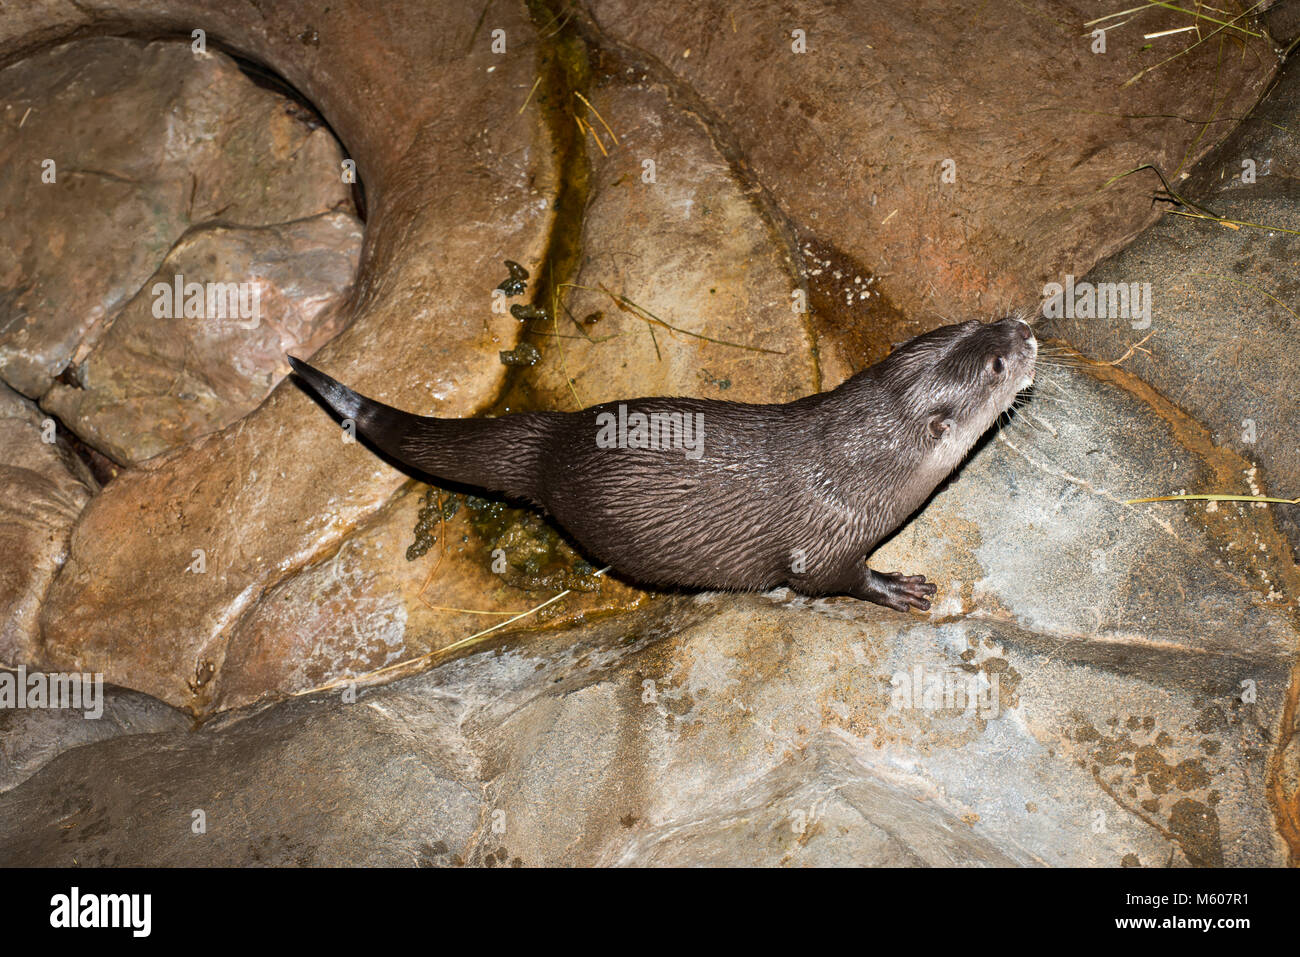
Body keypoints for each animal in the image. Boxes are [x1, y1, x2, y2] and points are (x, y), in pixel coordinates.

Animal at [288, 316, 1036, 611]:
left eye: (976, 324)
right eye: (997, 365)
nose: (1024, 329)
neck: (858, 459)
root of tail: (552, 441)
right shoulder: (824, 541)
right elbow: (831, 581)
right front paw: (898, 587)